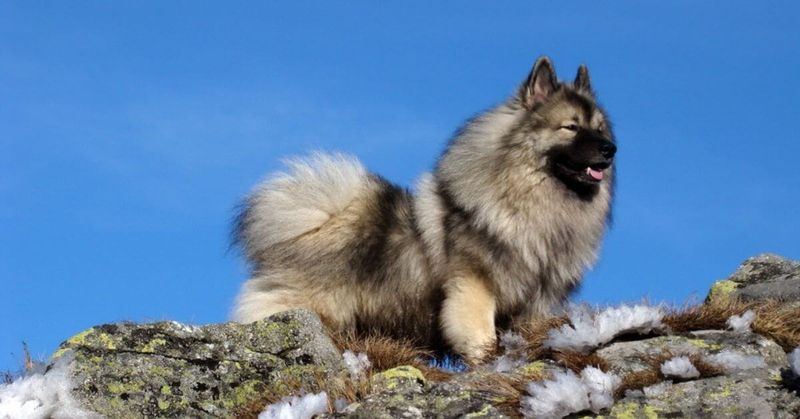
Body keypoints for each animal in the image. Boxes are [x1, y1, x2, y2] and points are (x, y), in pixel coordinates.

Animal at [232, 56, 616, 362]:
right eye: (571, 127)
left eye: (599, 128)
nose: (610, 149)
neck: (524, 197)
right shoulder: (473, 289)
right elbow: (480, 337)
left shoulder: (533, 305)